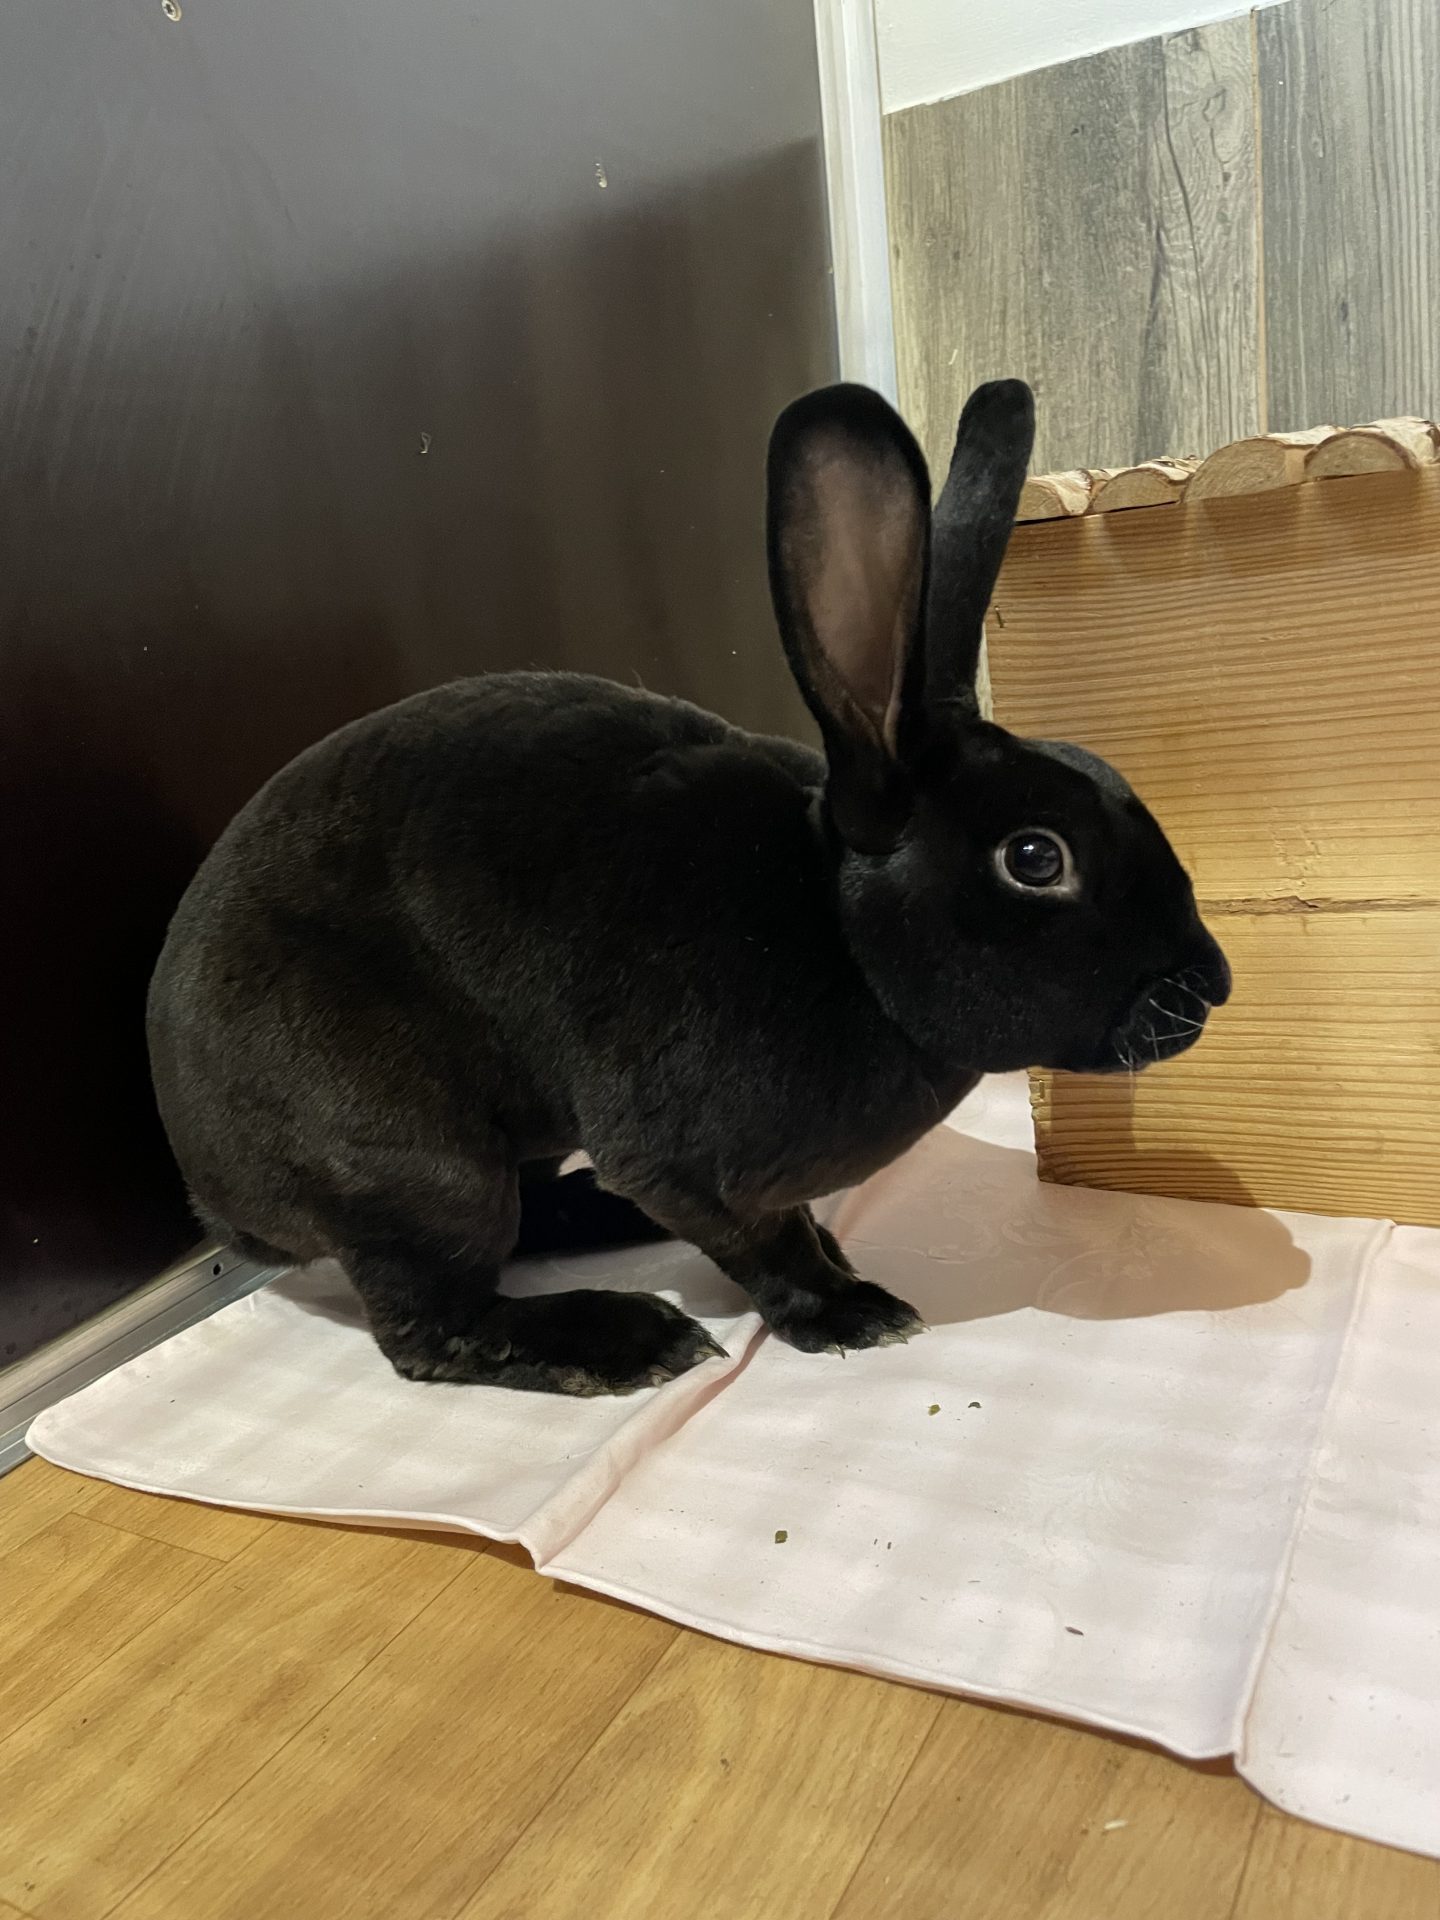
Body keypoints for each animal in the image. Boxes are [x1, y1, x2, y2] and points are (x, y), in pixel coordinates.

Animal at [148, 378, 1231, 1396]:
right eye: (1037, 858)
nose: (1212, 985)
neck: (842, 936)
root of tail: (216, 1195)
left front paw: (838, 1264)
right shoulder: (682, 1166)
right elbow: (762, 1242)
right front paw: (851, 1310)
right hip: (415, 1161)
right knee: (435, 1323)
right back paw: (631, 1340)